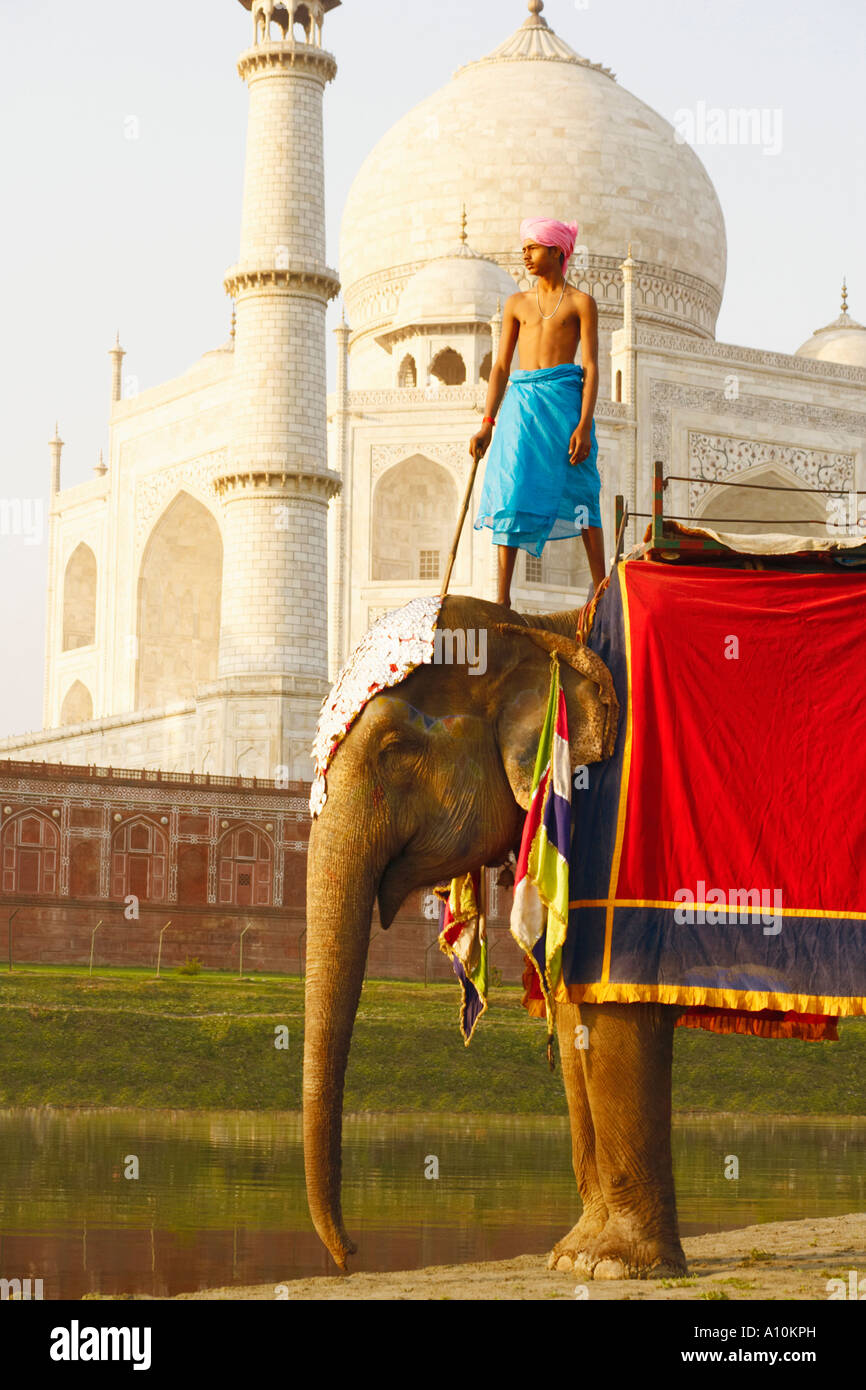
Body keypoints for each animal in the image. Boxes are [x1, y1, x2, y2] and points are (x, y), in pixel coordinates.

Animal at [304, 592, 689, 1280]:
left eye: (394, 749)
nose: (352, 1255)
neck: (546, 629)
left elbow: (616, 1000)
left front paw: (613, 1266)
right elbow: (573, 1011)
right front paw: (574, 1255)